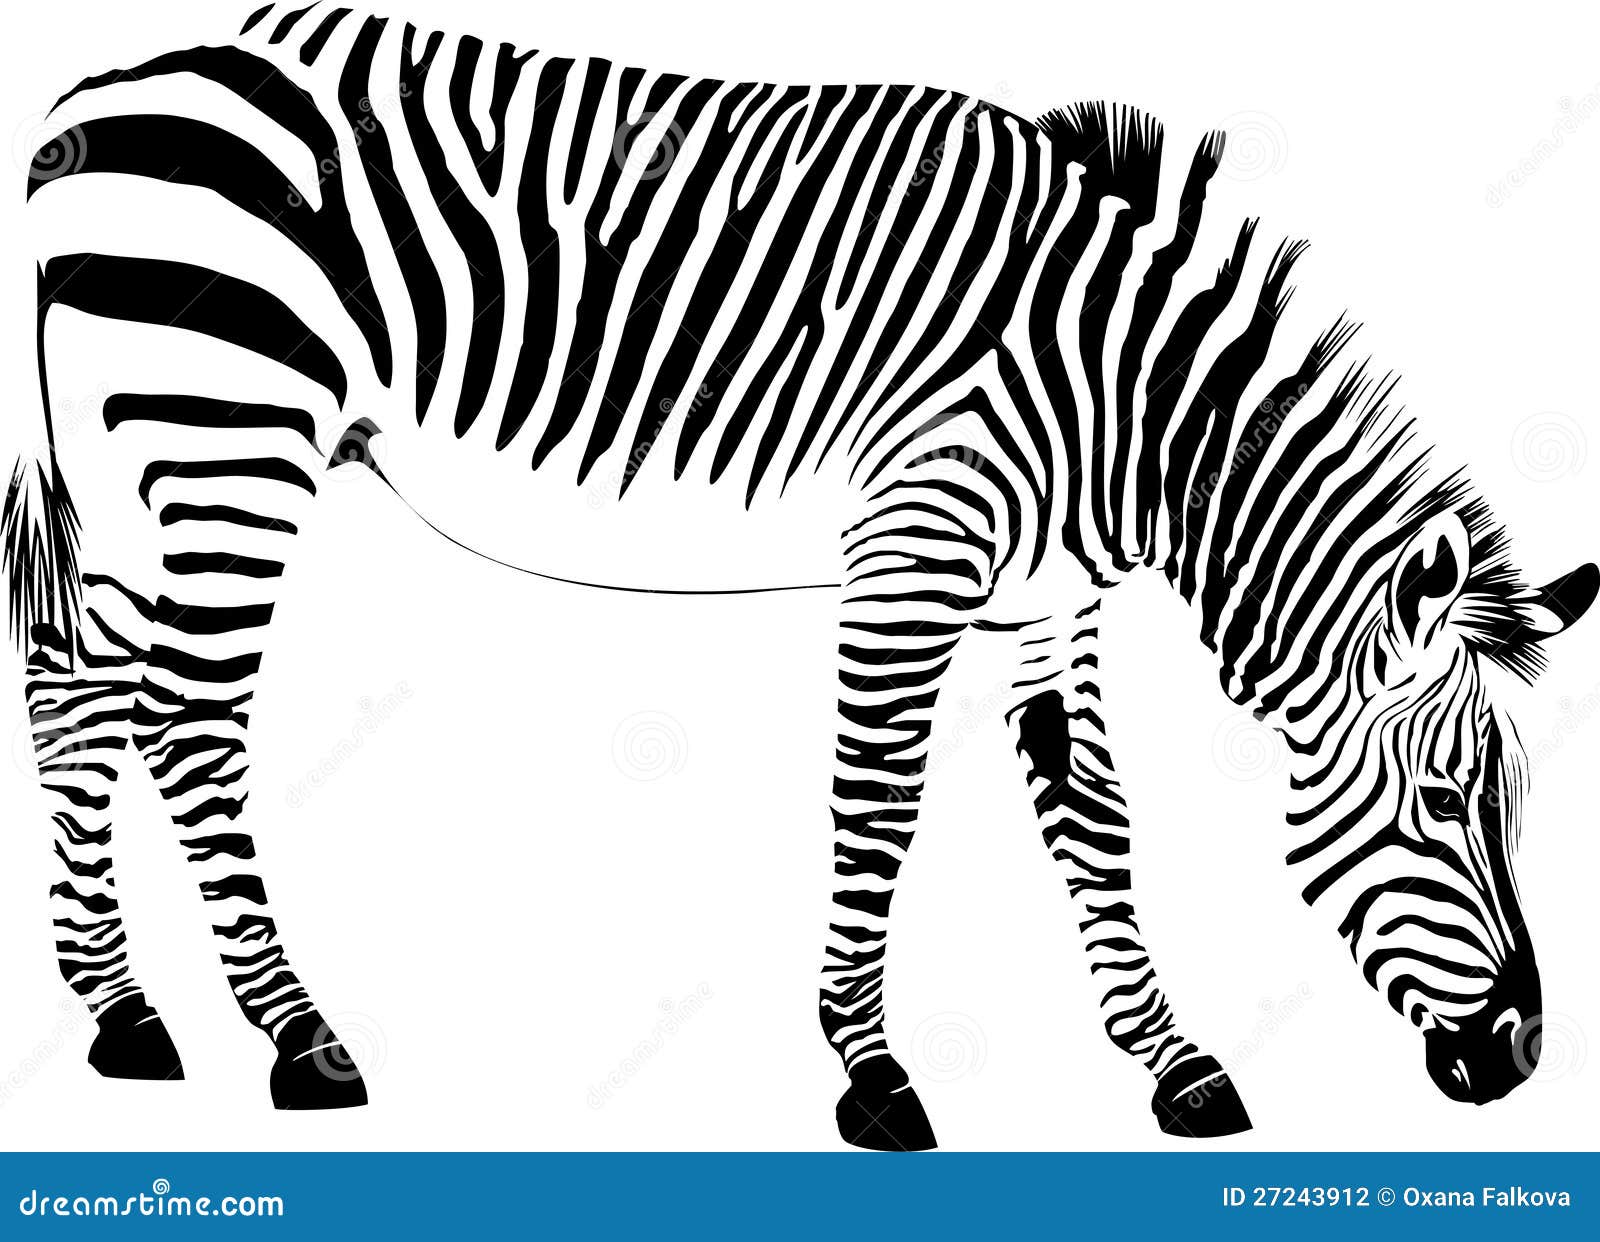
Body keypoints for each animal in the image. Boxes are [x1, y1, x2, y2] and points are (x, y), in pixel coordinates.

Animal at [5, 1, 1594, 1149]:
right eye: (1446, 802)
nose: (1522, 1058)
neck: (1123, 401)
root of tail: (94, 89)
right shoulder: (917, 545)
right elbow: (878, 810)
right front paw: (874, 1075)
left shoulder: (1045, 598)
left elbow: (1092, 819)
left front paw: (1172, 1066)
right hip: (227, 430)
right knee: (190, 723)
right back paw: (301, 1039)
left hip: (133, 458)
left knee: (76, 694)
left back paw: (124, 1019)